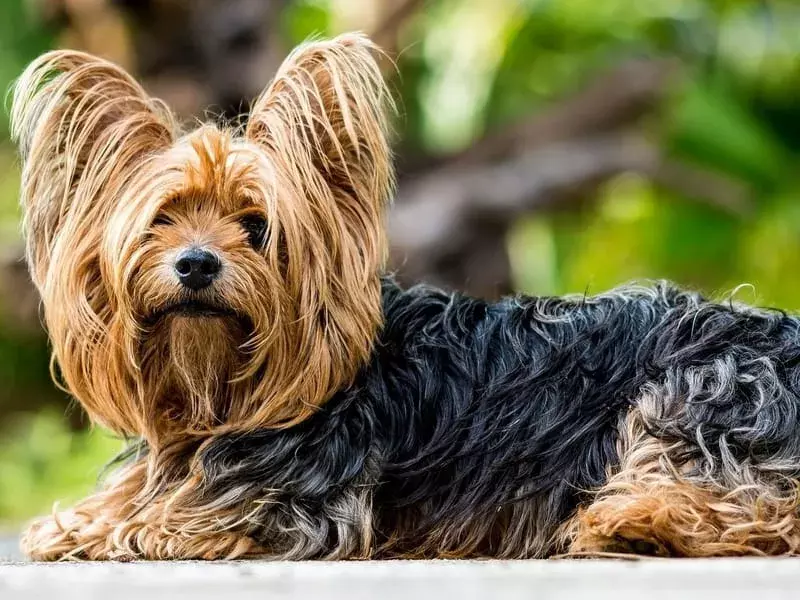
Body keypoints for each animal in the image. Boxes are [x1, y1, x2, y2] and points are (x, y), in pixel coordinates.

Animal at [9, 31, 800, 556]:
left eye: (258, 227)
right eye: (162, 220)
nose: (196, 265)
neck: (220, 389)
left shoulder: (301, 505)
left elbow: (170, 520)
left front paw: (110, 528)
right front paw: (82, 519)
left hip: (704, 388)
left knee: (759, 506)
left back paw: (639, 523)